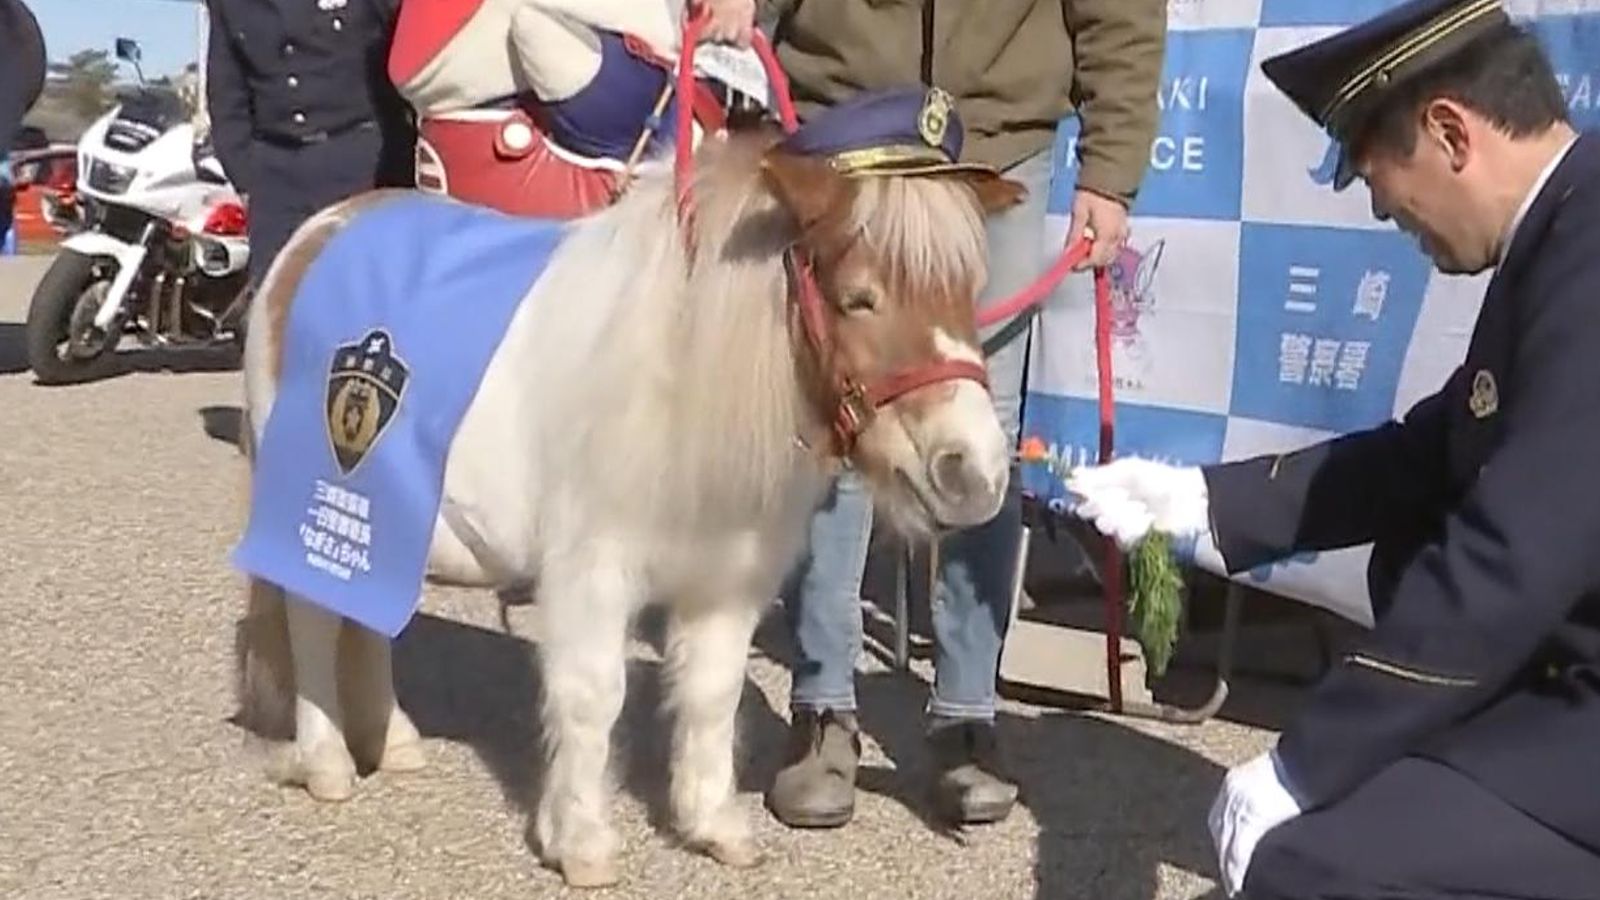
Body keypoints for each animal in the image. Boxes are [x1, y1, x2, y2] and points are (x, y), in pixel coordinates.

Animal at [233, 119, 1024, 888]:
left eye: (968, 292)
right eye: (859, 297)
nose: (974, 471)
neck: (681, 367)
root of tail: (318, 234)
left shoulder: (727, 581)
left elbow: (710, 694)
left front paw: (713, 825)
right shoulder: (590, 574)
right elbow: (593, 696)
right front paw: (581, 843)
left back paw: (393, 741)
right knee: (312, 621)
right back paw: (328, 763)